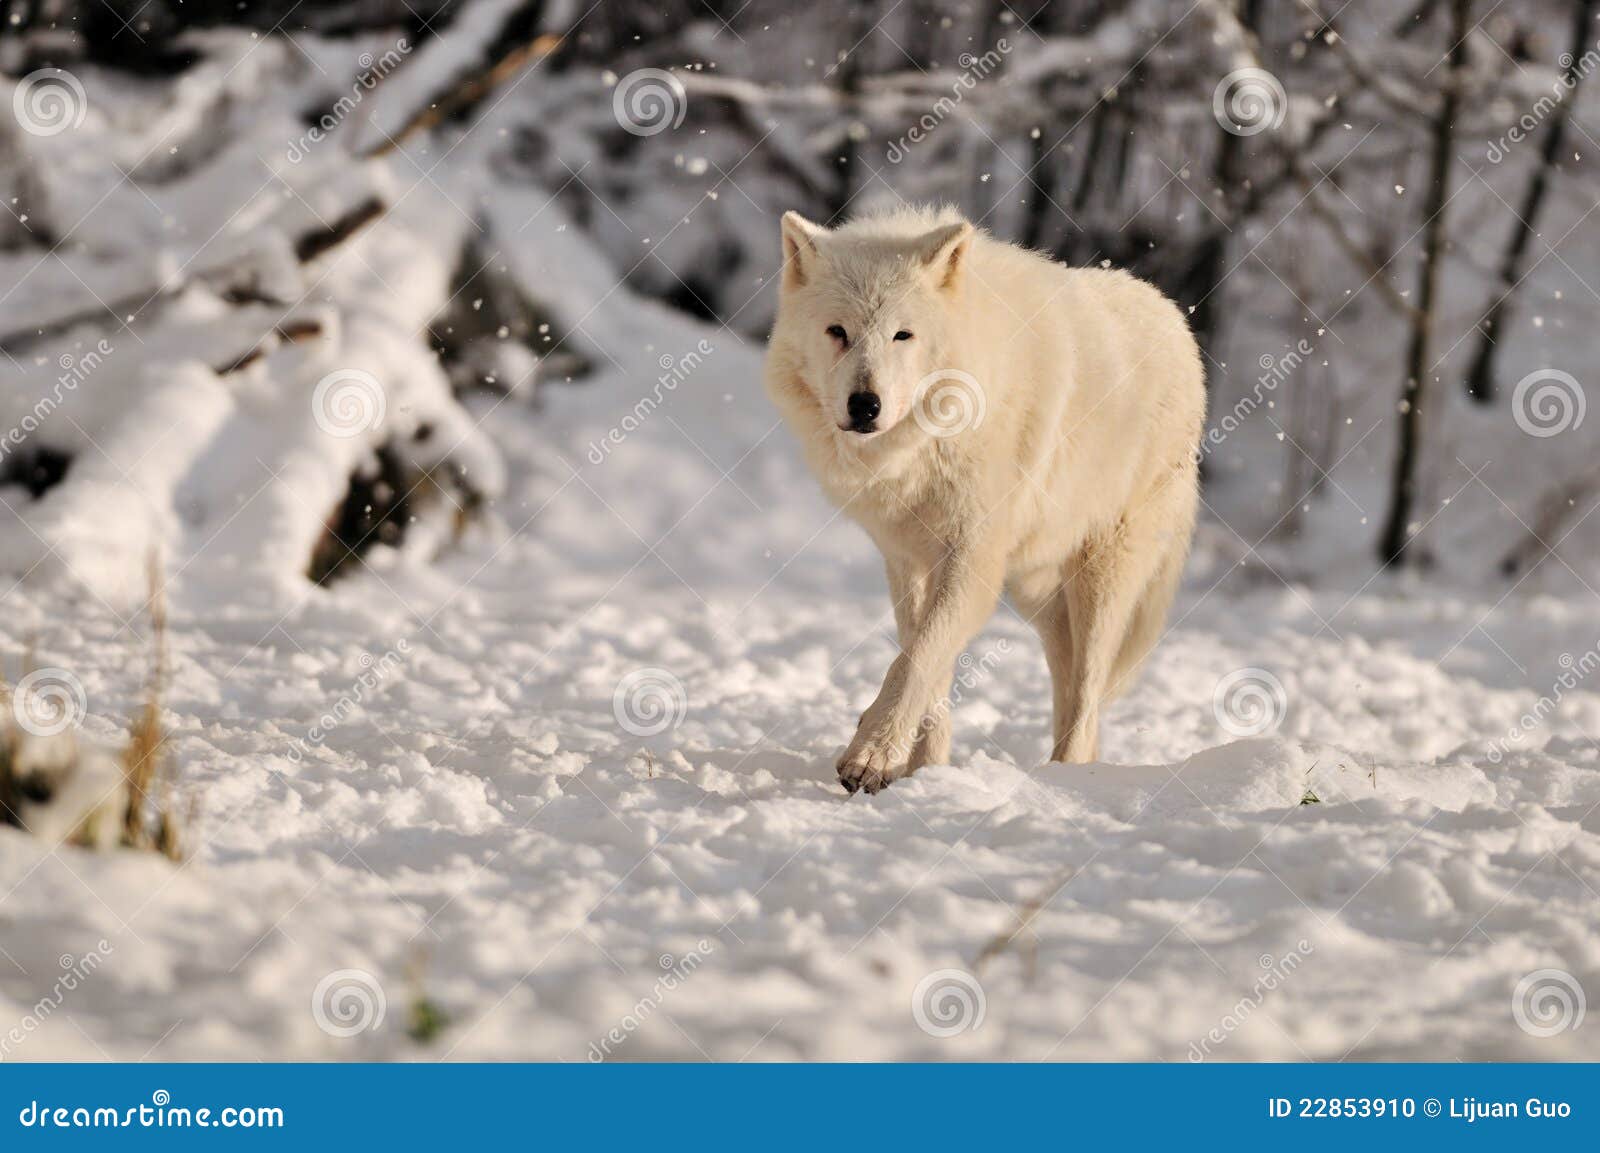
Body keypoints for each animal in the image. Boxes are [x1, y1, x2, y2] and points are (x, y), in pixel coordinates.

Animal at [764, 205, 1206, 794]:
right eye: (838, 332)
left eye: (902, 335)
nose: (865, 405)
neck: (928, 441)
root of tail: (1176, 320)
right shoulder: (908, 559)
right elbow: (923, 655)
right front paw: (924, 769)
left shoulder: (972, 557)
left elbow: (919, 656)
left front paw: (871, 756)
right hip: (1034, 587)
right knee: (1067, 673)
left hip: (1103, 576)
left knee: (1089, 690)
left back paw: (1067, 778)